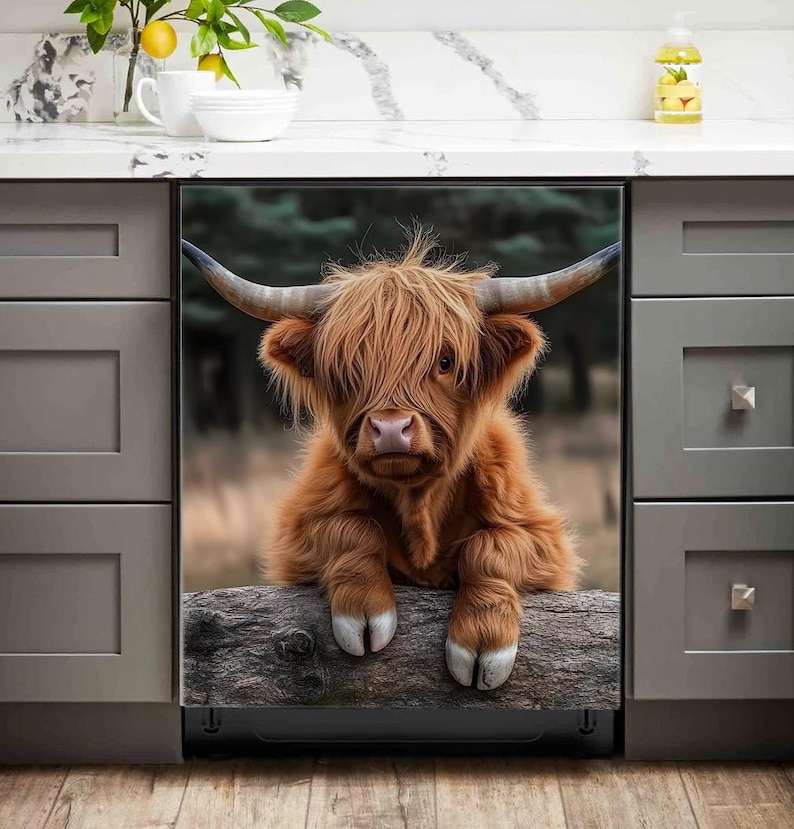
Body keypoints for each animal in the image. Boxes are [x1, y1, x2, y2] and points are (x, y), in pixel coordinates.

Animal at [182, 231, 620, 690]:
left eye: (445, 361)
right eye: (348, 369)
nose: (391, 429)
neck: (418, 503)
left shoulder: (545, 541)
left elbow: (492, 545)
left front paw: (484, 640)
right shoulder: (296, 536)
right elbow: (351, 527)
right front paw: (363, 608)